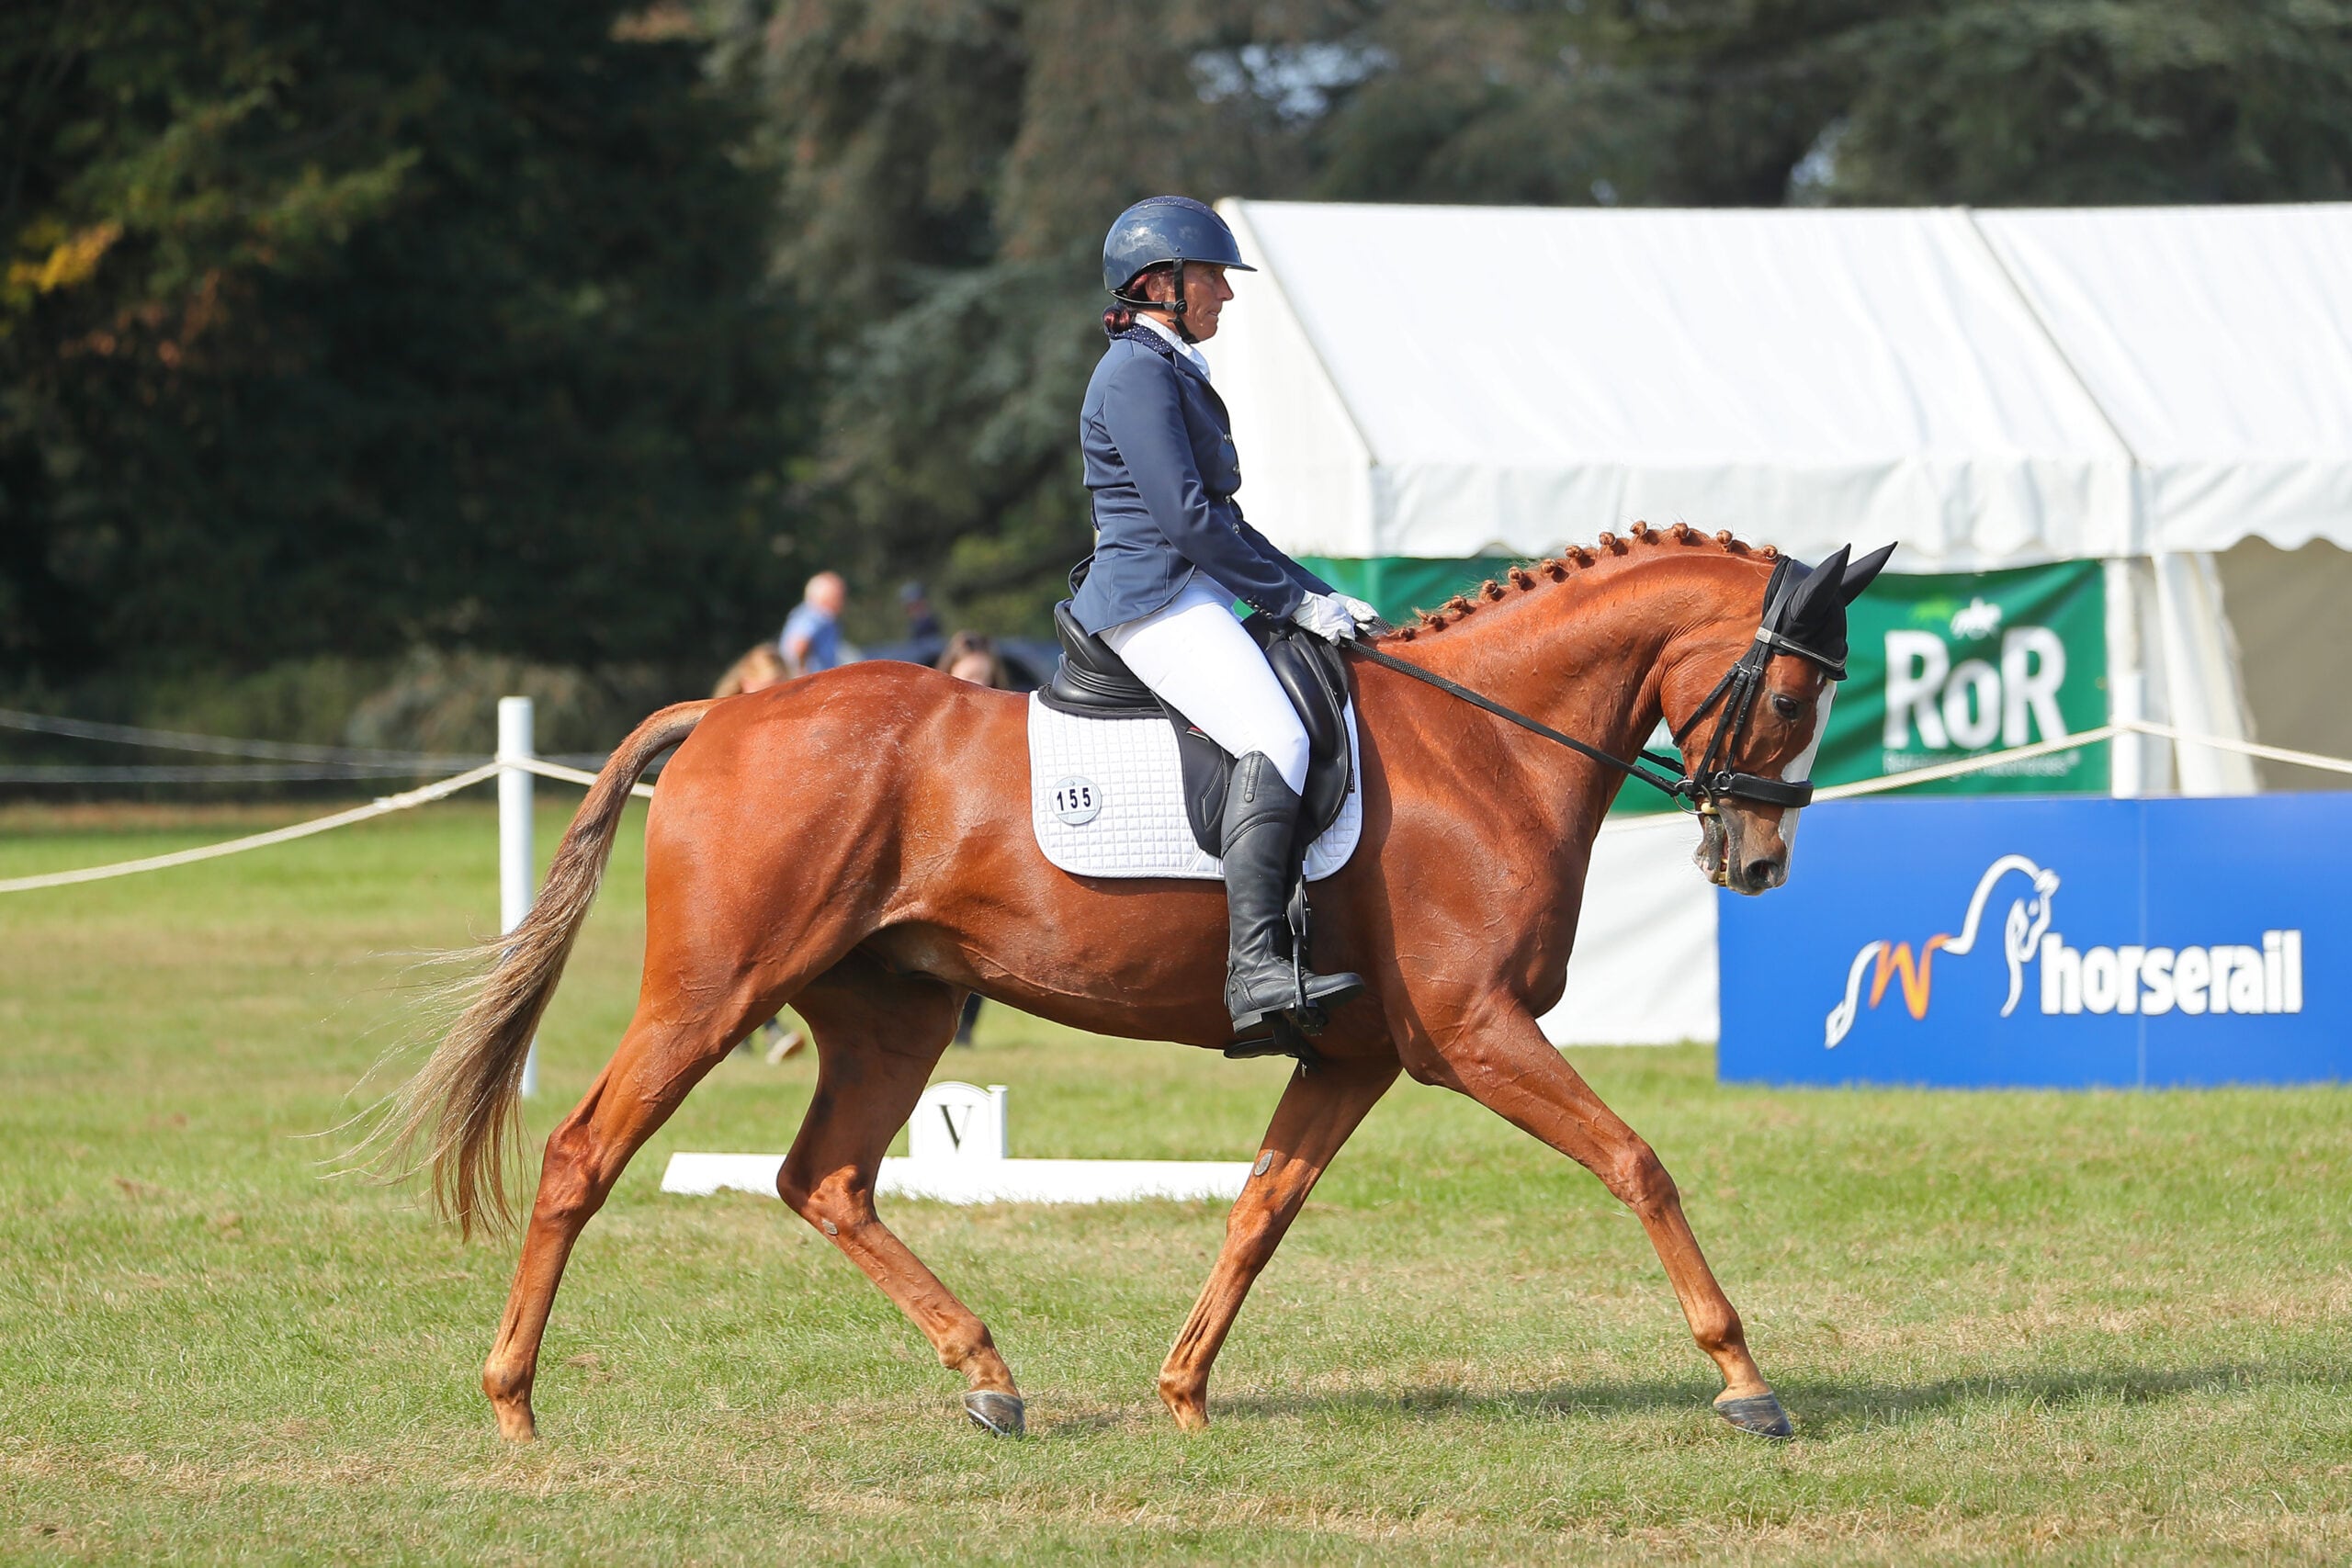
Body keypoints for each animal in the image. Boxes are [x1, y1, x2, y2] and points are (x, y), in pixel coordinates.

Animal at [381, 523, 1885, 1444]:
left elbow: (1260, 1211)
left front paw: (1184, 1389)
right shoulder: (1472, 1033)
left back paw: (990, 1379)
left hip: (895, 1014)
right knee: (582, 1154)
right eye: (1794, 698)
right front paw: (1745, 1382)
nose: (1757, 860)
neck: (1485, 748)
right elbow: (1638, 1162)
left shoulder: (1357, 1054)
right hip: (713, 993)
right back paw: (513, 1402)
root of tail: (726, 712)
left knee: (825, 1180)